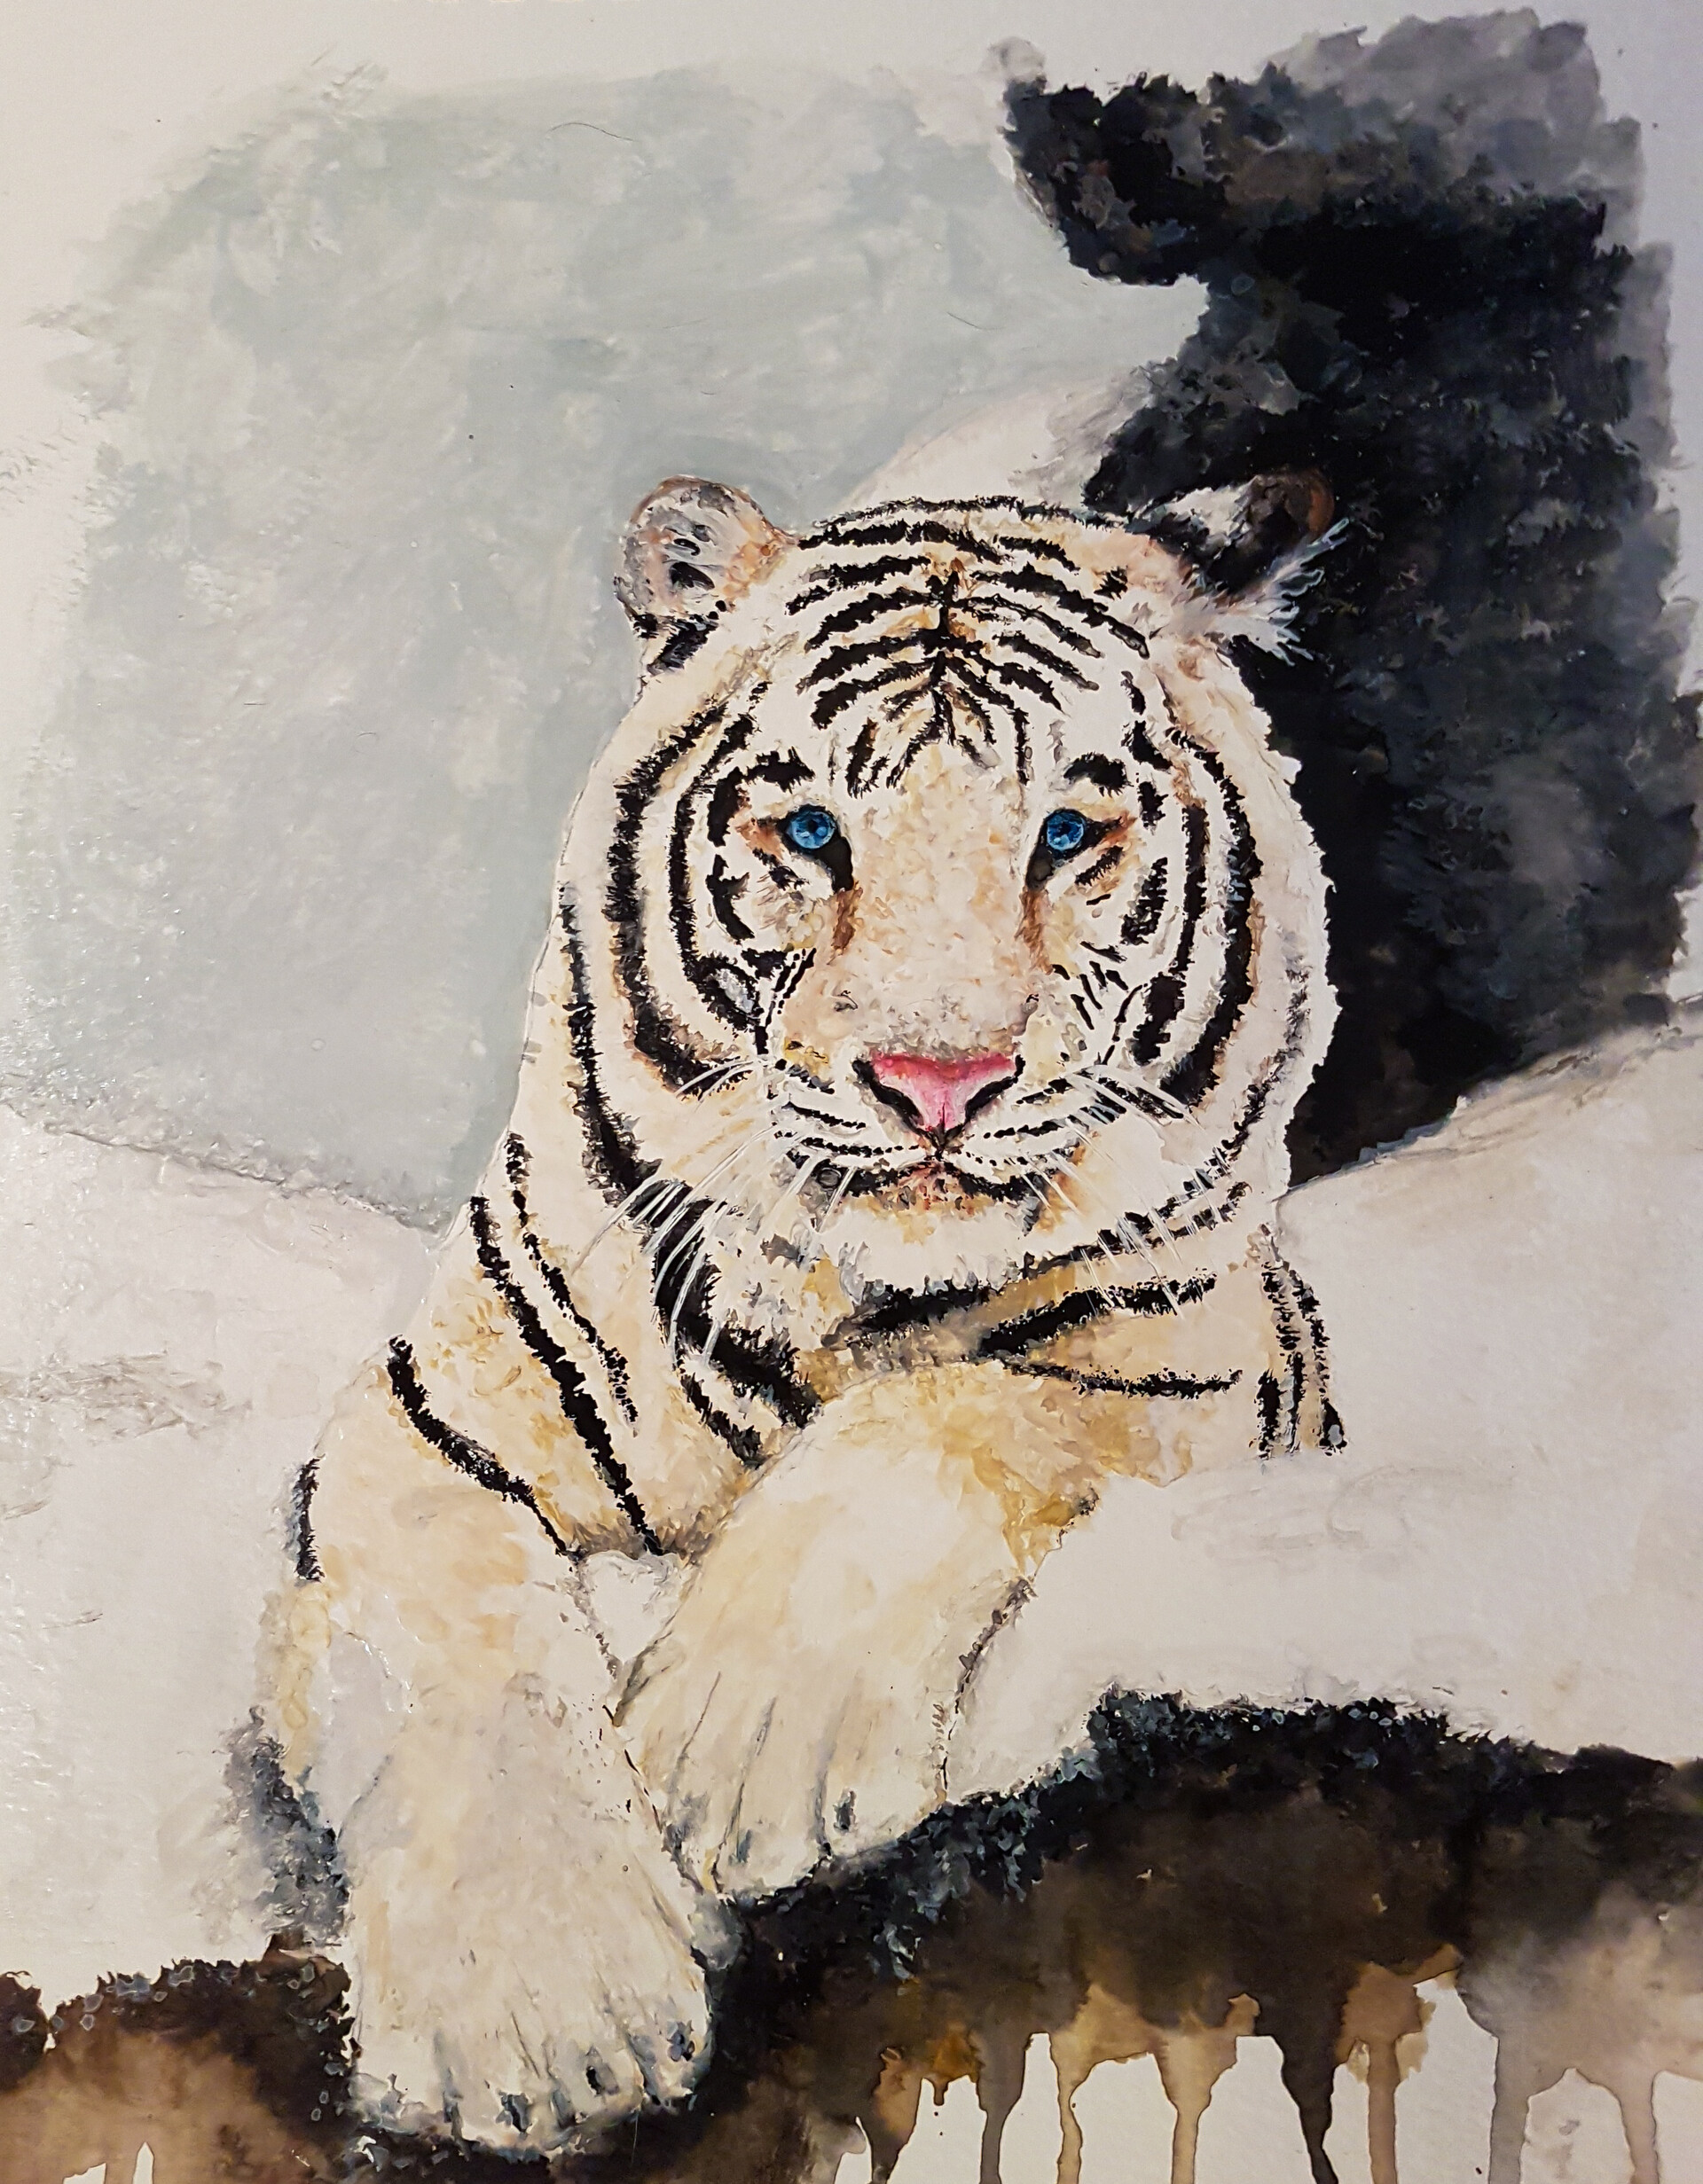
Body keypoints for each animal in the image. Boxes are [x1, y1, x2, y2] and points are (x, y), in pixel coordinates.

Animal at [266, 473, 1344, 2156]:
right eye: (816, 832)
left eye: (1065, 834)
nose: (937, 1081)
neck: (842, 1295)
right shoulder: (426, 1428)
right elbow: (464, 1649)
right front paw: (542, 2017)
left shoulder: (1196, 1368)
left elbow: (956, 1411)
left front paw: (733, 1757)